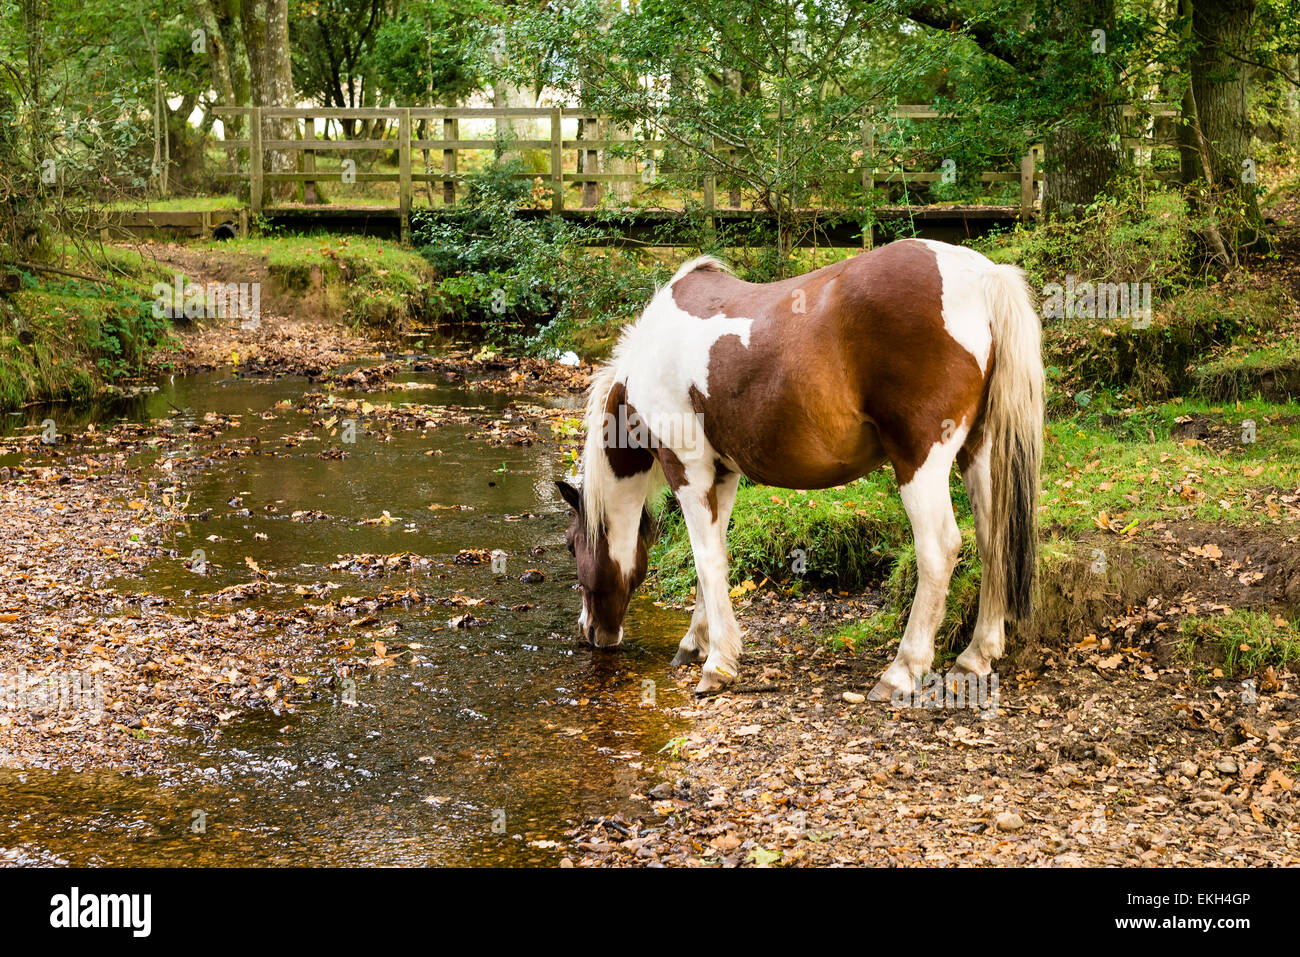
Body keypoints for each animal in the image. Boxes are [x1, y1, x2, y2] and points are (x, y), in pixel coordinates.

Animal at [556, 238, 1044, 698]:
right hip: (978, 451)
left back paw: (902, 672)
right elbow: (713, 556)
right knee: (994, 539)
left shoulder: (688, 470)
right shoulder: (722, 474)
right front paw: (698, 642)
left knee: (938, 549)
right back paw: (976, 657)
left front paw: (717, 665)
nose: (590, 633)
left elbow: (705, 557)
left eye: (571, 545)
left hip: (920, 460)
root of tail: (984, 277)